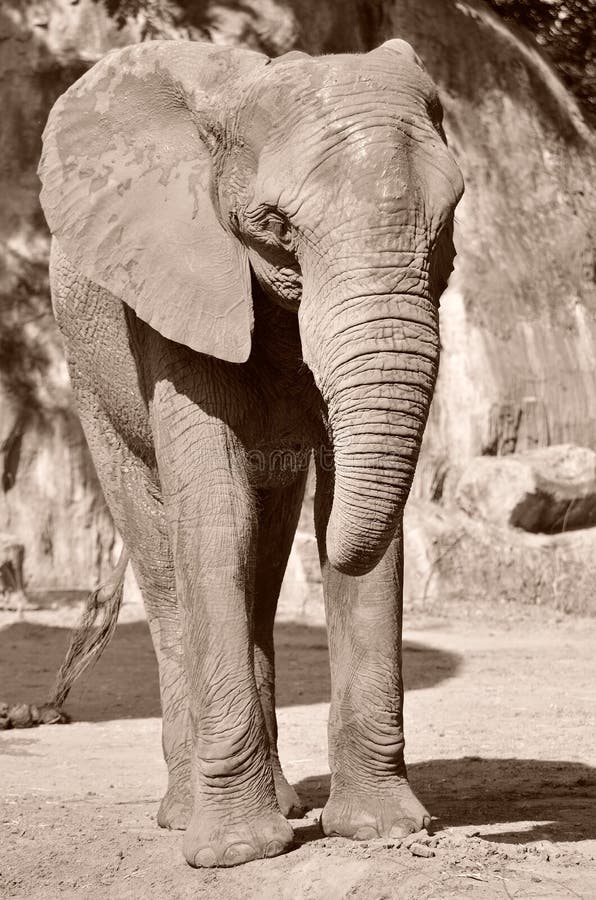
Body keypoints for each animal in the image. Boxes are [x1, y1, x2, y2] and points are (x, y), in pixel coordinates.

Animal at [38, 37, 463, 868]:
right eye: (276, 225)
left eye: (449, 219)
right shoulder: (174, 283)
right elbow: (217, 519)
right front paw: (237, 853)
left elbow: (353, 531)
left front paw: (383, 831)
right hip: (86, 369)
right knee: (169, 557)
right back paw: (187, 815)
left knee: (266, 559)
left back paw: (289, 803)